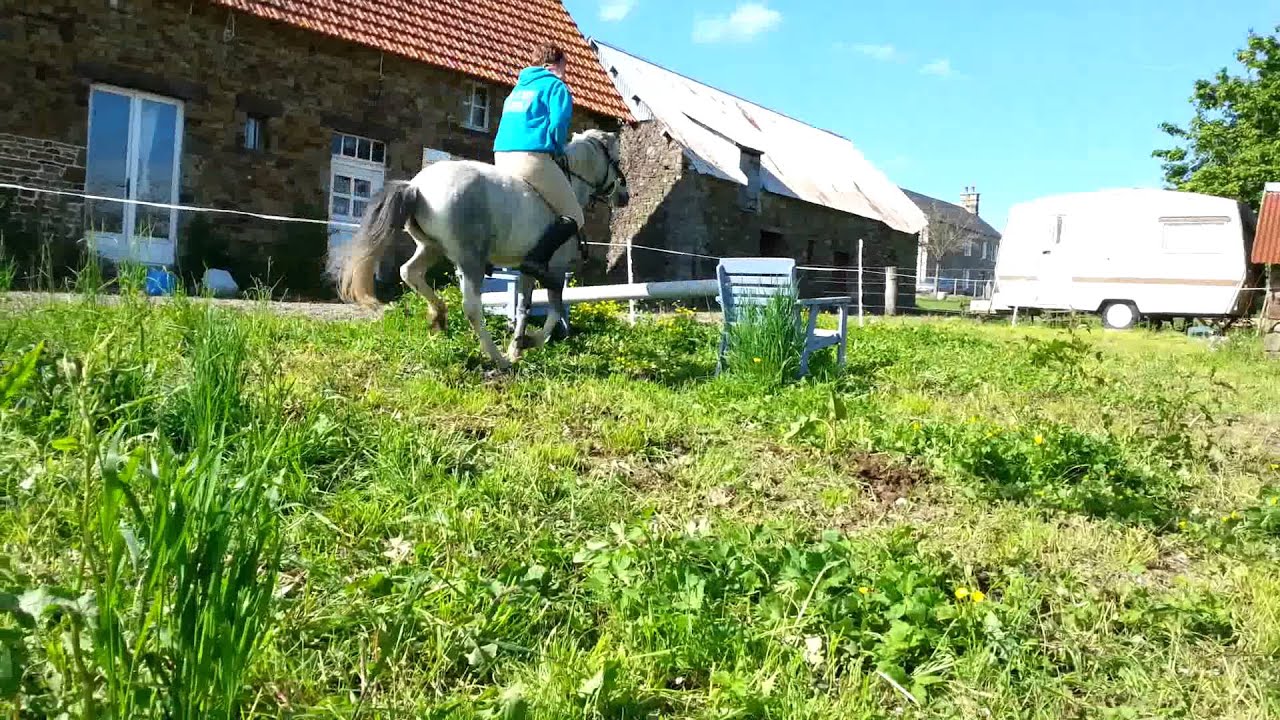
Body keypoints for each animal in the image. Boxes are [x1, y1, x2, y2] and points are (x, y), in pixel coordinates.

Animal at [326, 129, 629, 369]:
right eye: (617, 160)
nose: (625, 197)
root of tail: (416, 186)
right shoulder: (556, 268)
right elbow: (554, 311)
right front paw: (528, 343)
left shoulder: (528, 269)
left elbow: (524, 307)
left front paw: (517, 346)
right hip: (470, 258)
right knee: (472, 306)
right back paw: (497, 358)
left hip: (431, 248)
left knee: (409, 272)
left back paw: (440, 316)